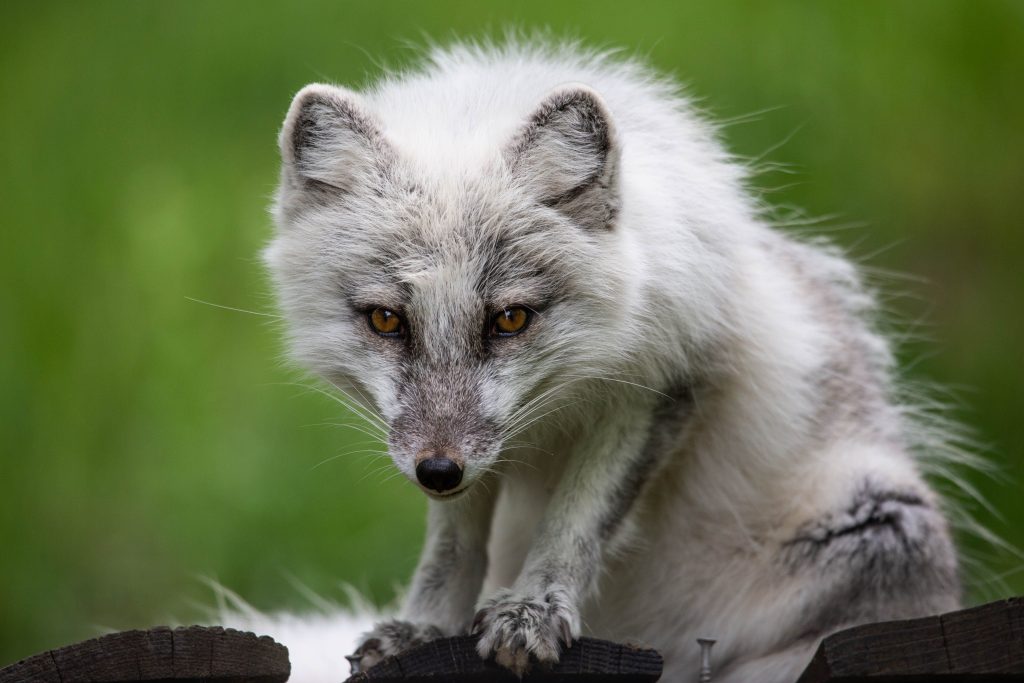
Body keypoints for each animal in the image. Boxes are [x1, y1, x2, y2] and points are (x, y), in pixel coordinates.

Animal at [256, 40, 961, 682]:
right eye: (386, 320)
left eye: (510, 319)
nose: (436, 471)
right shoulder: (460, 458)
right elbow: (452, 549)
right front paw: (426, 628)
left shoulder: (664, 384)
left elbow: (576, 521)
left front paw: (533, 611)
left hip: (880, 527)